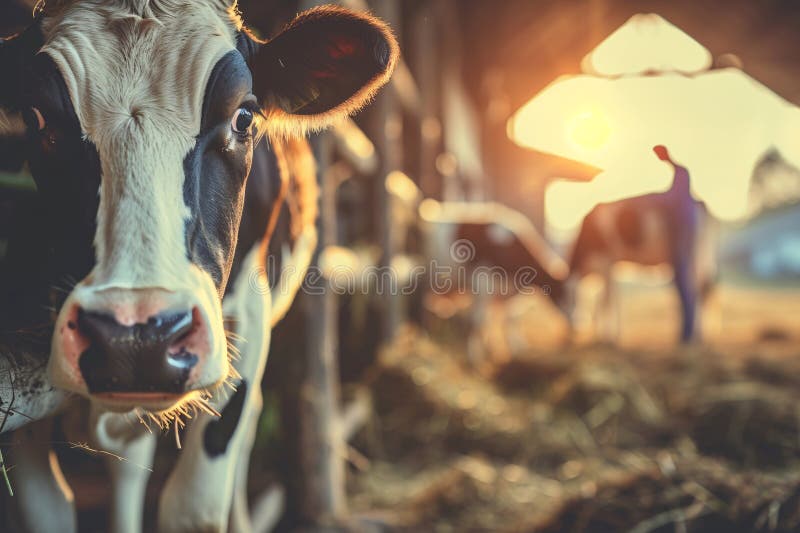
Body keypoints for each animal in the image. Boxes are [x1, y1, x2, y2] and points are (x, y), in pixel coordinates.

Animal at [0, 2, 397, 531]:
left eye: (244, 117)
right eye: (35, 116)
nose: (136, 340)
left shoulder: (248, 315)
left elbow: (194, 506)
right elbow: (48, 511)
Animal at [562, 145, 717, 343]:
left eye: (566, 298)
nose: (572, 329)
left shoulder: (606, 262)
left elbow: (606, 300)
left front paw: (608, 337)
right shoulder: (612, 266)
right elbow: (612, 298)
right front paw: (612, 335)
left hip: (692, 252)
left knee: (696, 289)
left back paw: (692, 335)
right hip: (703, 254)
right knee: (704, 288)